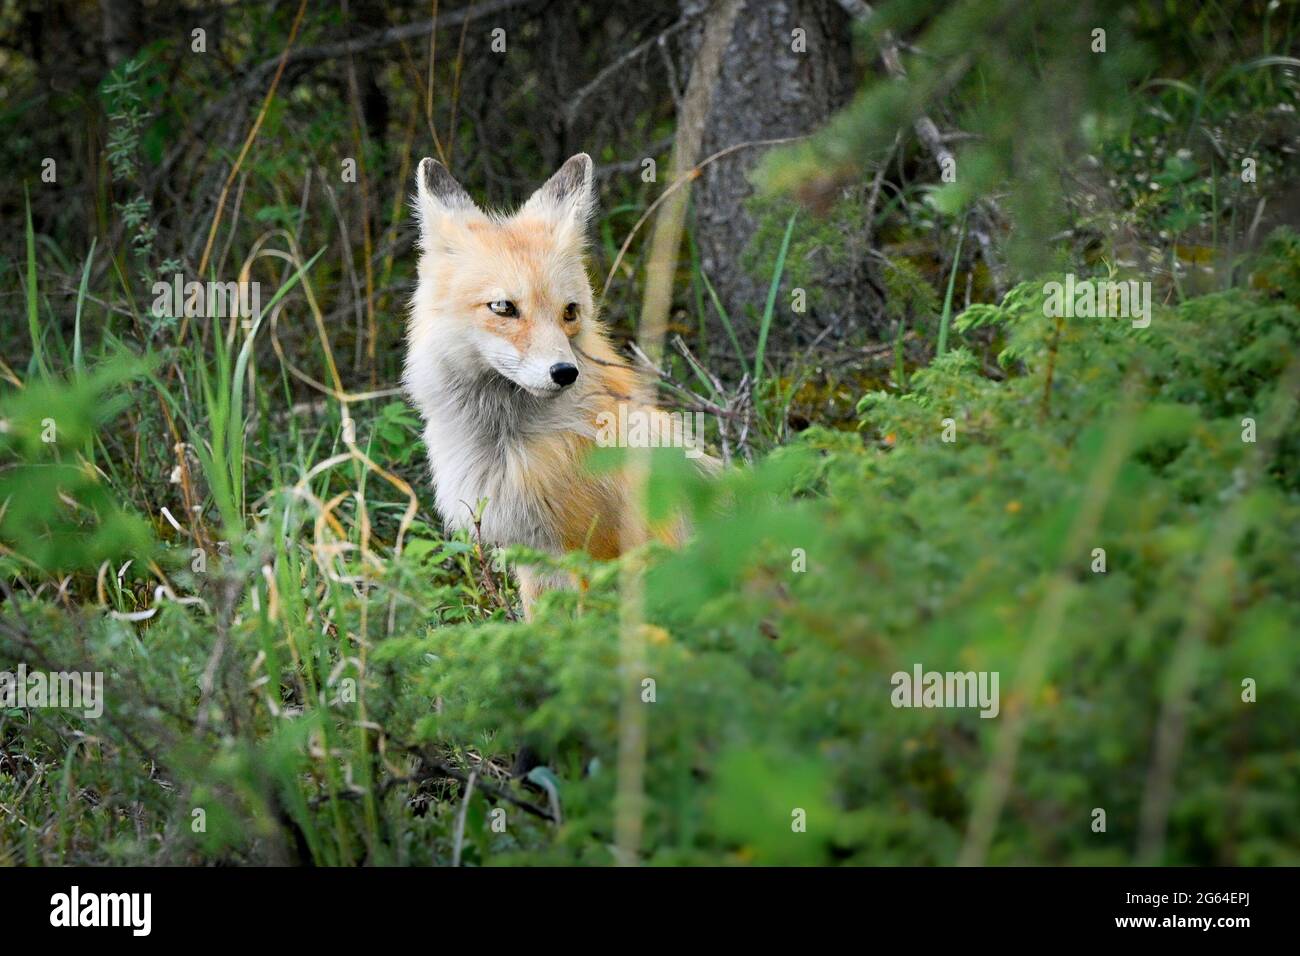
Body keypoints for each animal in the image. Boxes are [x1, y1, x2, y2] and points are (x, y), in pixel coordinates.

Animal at [402, 152, 715, 618]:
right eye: (503, 307)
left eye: (569, 311)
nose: (565, 372)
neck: (507, 446)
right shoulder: (532, 557)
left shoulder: (590, 555)